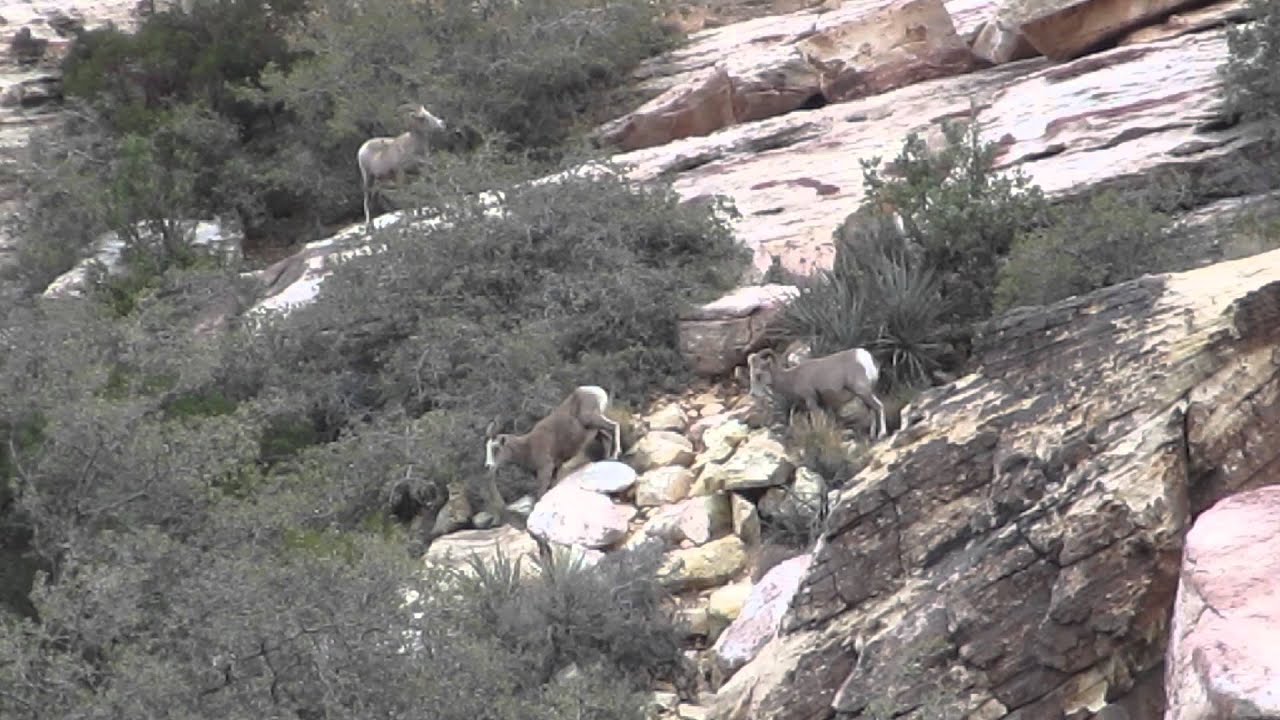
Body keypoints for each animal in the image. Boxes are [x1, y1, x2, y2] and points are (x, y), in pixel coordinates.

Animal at [357, 104, 447, 232]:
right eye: (422, 117)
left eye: (429, 113)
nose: (442, 124)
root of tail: (362, 149)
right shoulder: (401, 174)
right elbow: (405, 197)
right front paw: (407, 221)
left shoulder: (422, 172)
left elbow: (428, 190)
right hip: (369, 179)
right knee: (367, 201)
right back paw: (369, 228)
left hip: (377, 183)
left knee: (373, 201)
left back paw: (373, 227)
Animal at [484, 385, 623, 497]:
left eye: (496, 448)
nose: (488, 466)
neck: (528, 447)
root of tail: (598, 391)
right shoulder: (555, 468)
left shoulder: (546, 469)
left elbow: (540, 495)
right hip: (596, 429)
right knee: (607, 436)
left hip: (591, 419)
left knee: (614, 426)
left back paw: (614, 456)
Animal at [747, 346, 887, 440]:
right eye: (750, 374)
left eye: (758, 375)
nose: (753, 394)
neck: (792, 378)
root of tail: (864, 357)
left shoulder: (811, 401)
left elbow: (817, 422)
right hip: (864, 394)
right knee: (872, 410)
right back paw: (872, 436)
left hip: (862, 391)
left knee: (879, 406)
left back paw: (881, 435)